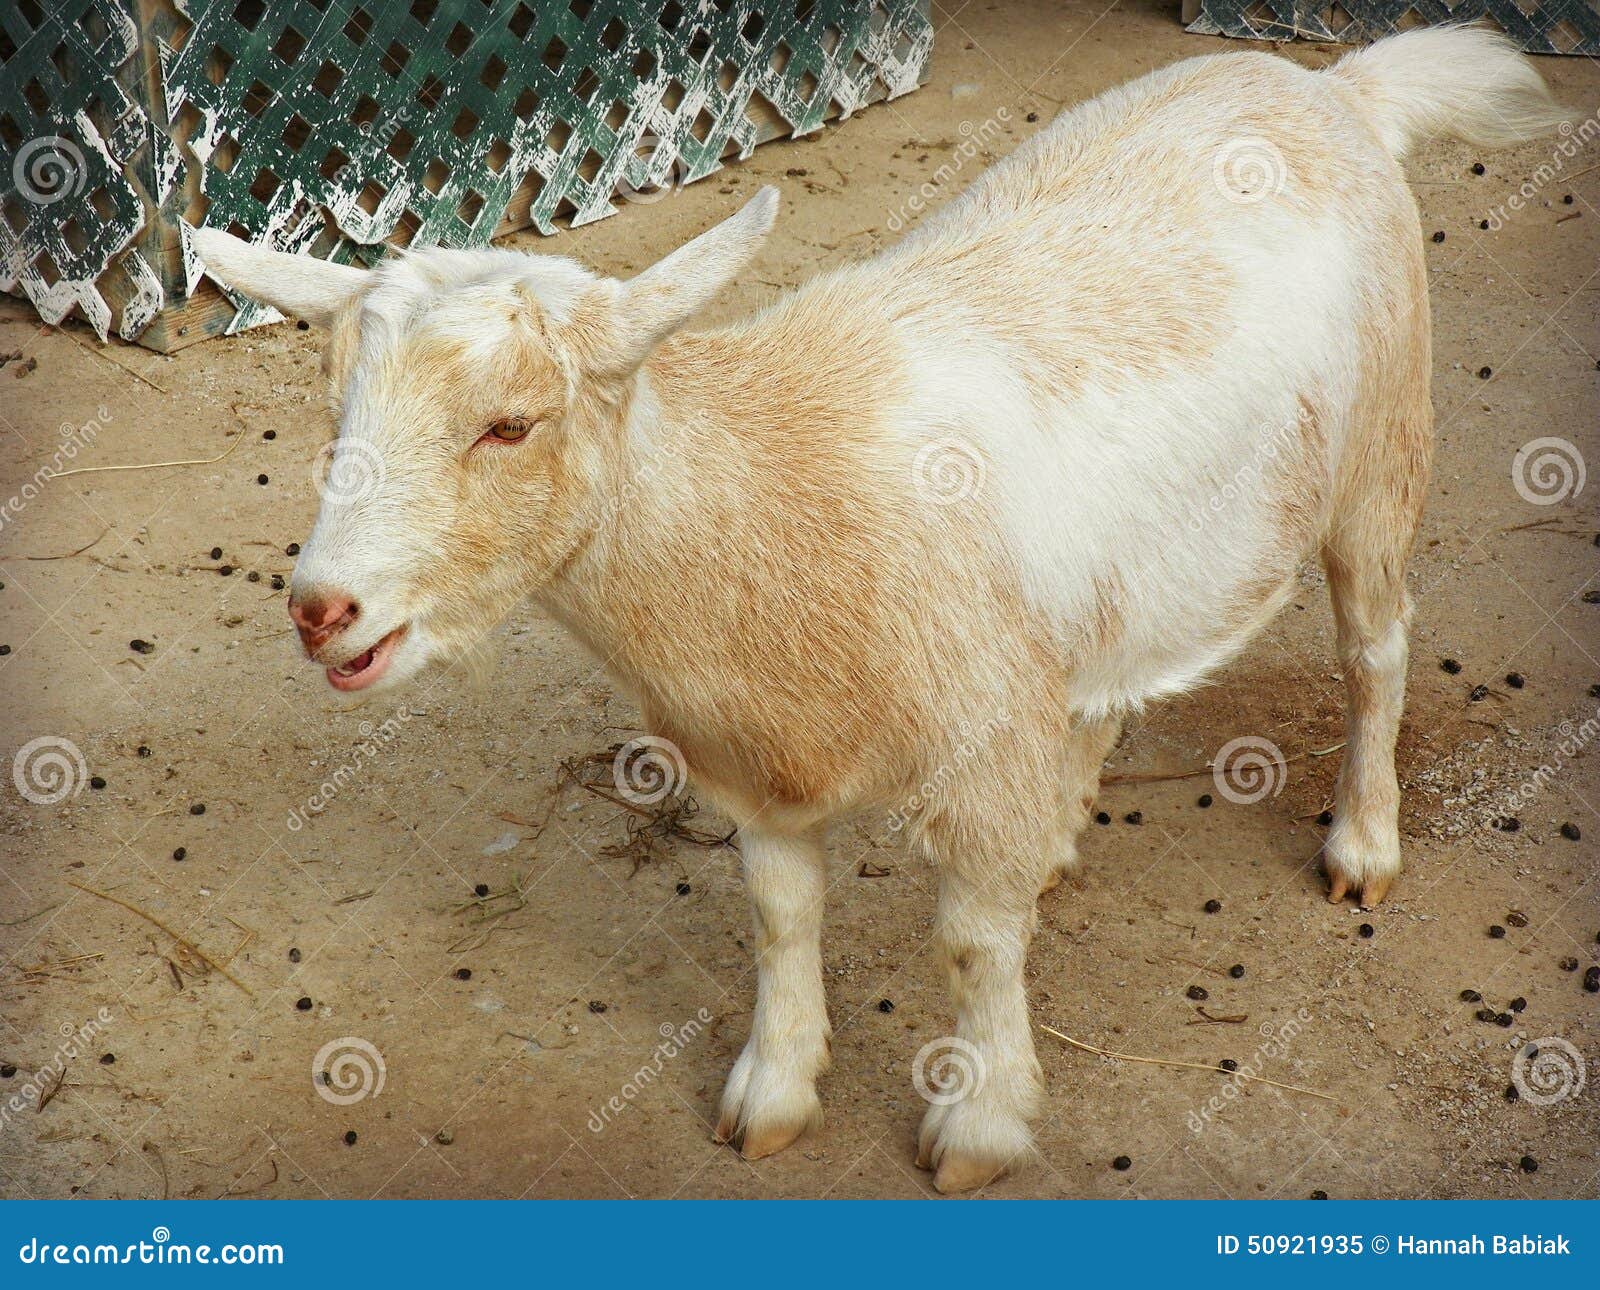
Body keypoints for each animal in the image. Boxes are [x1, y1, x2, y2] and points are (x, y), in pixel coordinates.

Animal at [193, 27, 1564, 1192]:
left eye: (509, 425)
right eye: (338, 412)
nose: (320, 608)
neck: (773, 500)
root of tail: (1332, 87)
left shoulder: (972, 749)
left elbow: (969, 945)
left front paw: (979, 1124)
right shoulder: (758, 767)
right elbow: (779, 918)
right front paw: (775, 1092)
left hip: (1382, 451)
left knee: (1376, 647)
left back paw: (1362, 844)